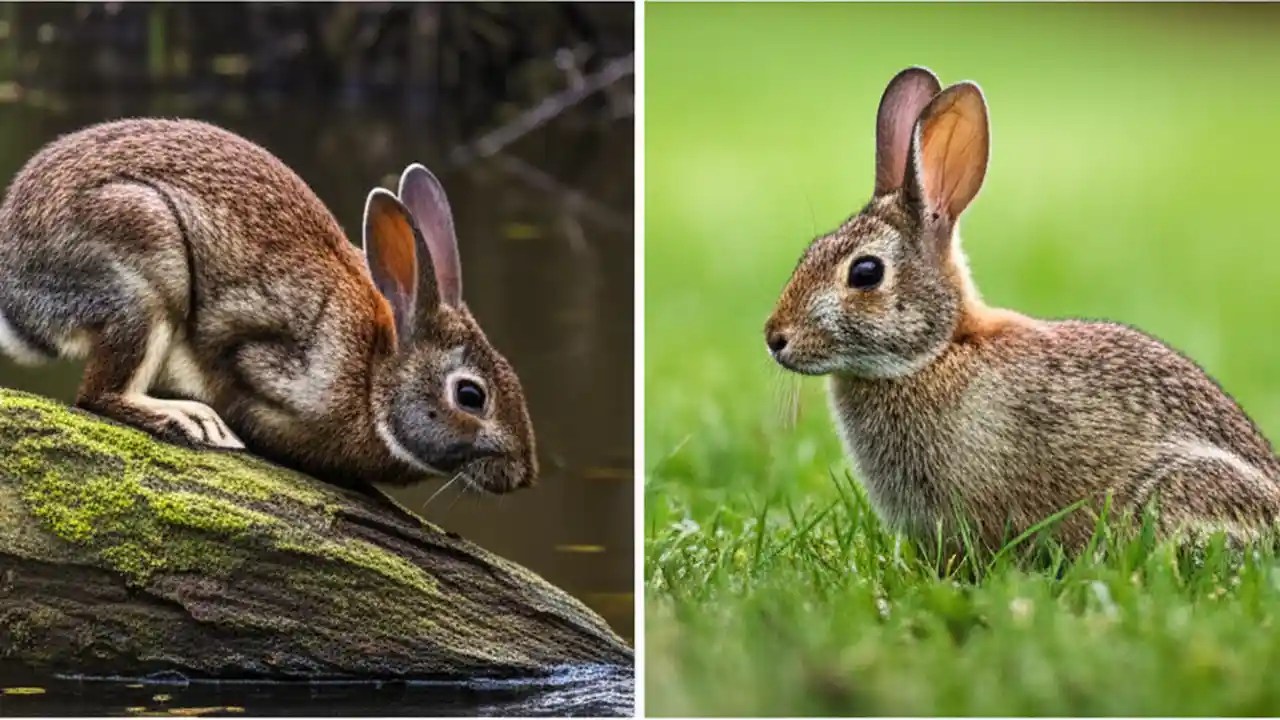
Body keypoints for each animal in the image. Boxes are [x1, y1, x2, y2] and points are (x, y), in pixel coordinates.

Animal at [0, 118, 536, 493]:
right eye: (470, 396)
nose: (522, 474)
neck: (375, 376)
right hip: (145, 267)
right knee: (99, 394)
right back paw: (192, 421)